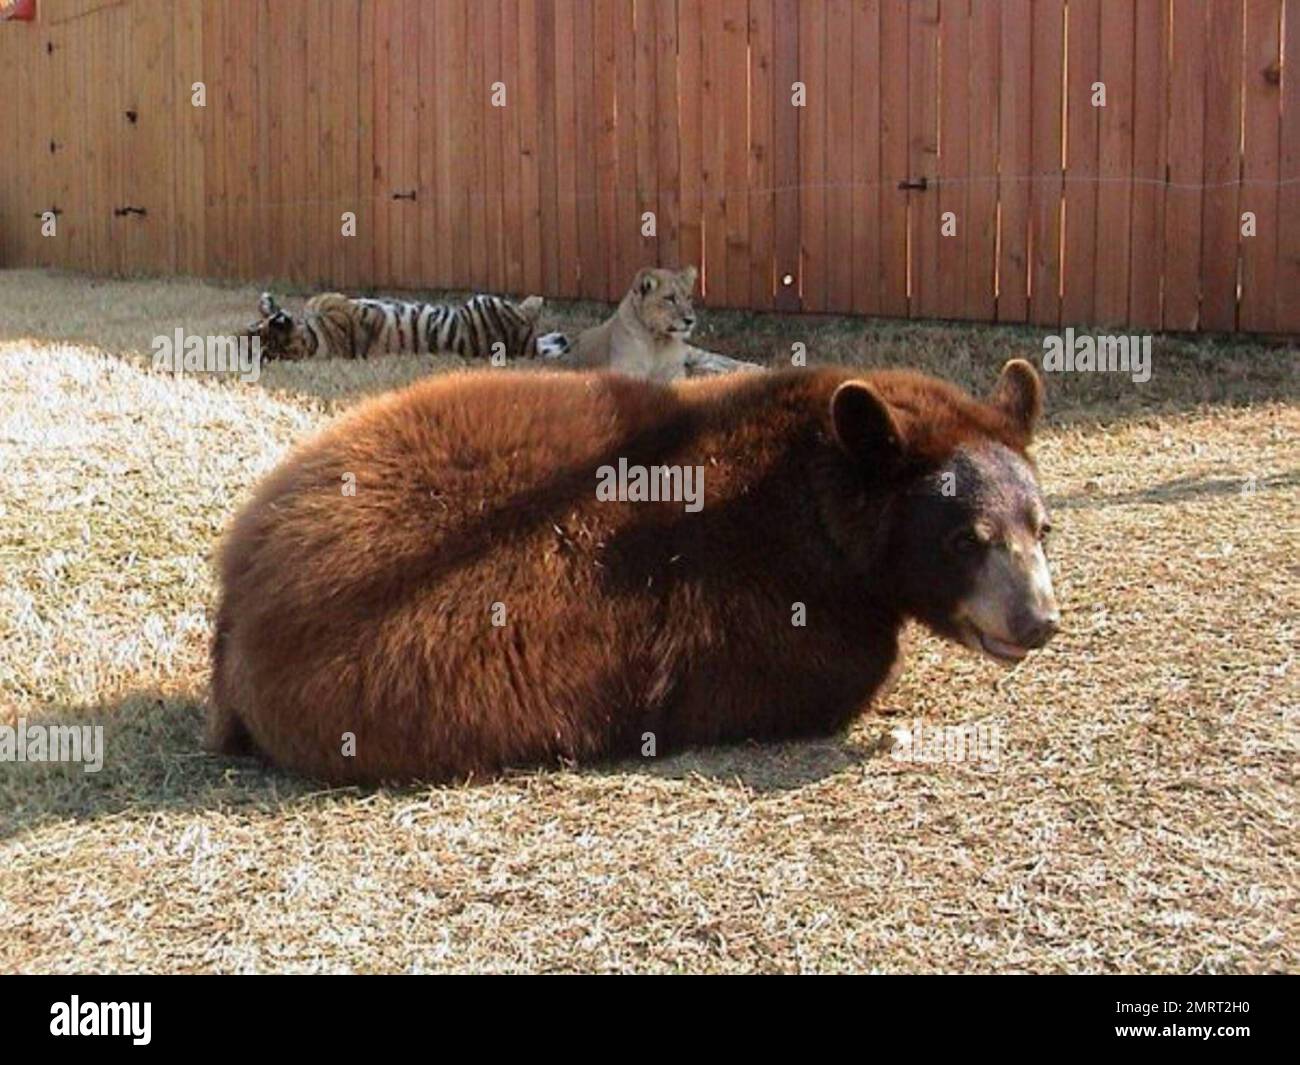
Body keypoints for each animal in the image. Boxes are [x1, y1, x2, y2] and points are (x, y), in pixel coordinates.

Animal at [209, 360, 1060, 784]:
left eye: (1040, 525)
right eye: (965, 538)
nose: (1038, 620)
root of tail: (237, 586)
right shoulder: (753, 601)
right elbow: (821, 672)